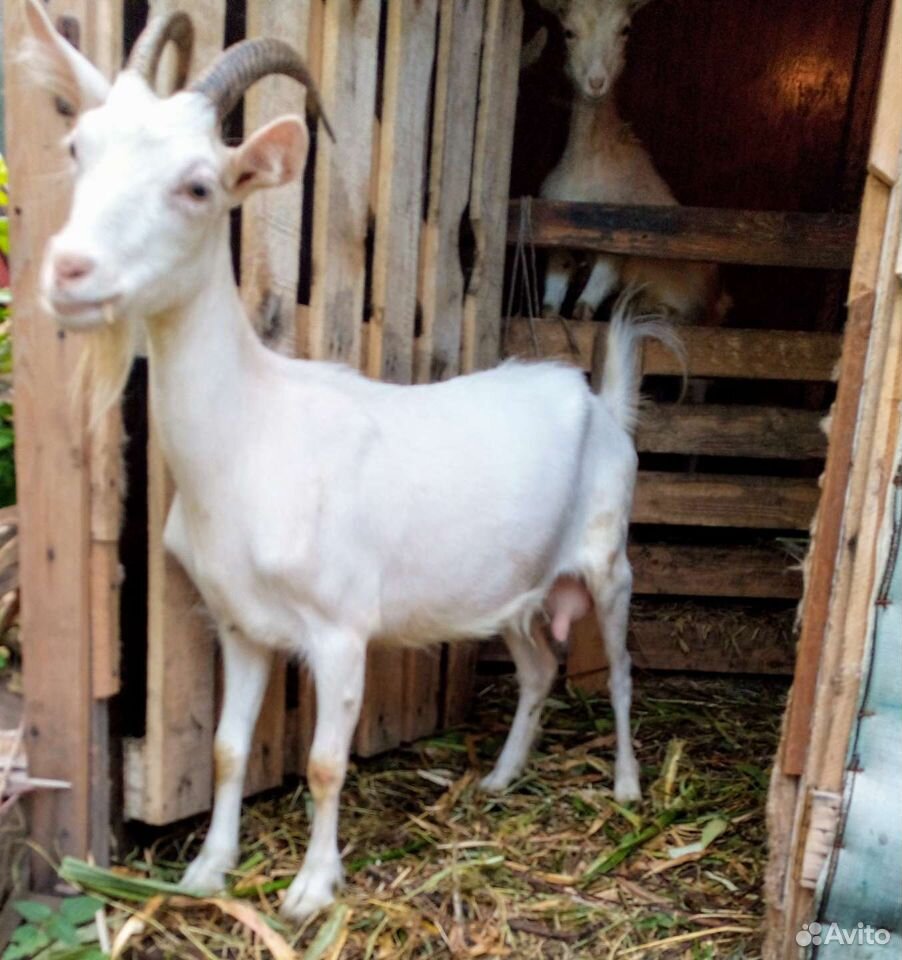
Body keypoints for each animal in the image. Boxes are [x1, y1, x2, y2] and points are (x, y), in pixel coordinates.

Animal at [22, 0, 680, 921]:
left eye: (199, 185)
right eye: (80, 148)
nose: (69, 272)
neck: (250, 438)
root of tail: (599, 402)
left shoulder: (339, 632)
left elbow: (326, 763)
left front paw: (308, 891)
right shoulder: (240, 627)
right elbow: (226, 750)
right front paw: (207, 871)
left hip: (608, 560)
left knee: (617, 672)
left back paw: (624, 786)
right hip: (517, 590)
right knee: (538, 670)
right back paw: (501, 778)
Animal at [537, 0, 727, 324]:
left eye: (625, 30)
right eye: (568, 32)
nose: (596, 82)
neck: (590, 162)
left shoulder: (618, 242)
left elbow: (585, 306)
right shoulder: (557, 236)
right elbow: (550, 306)